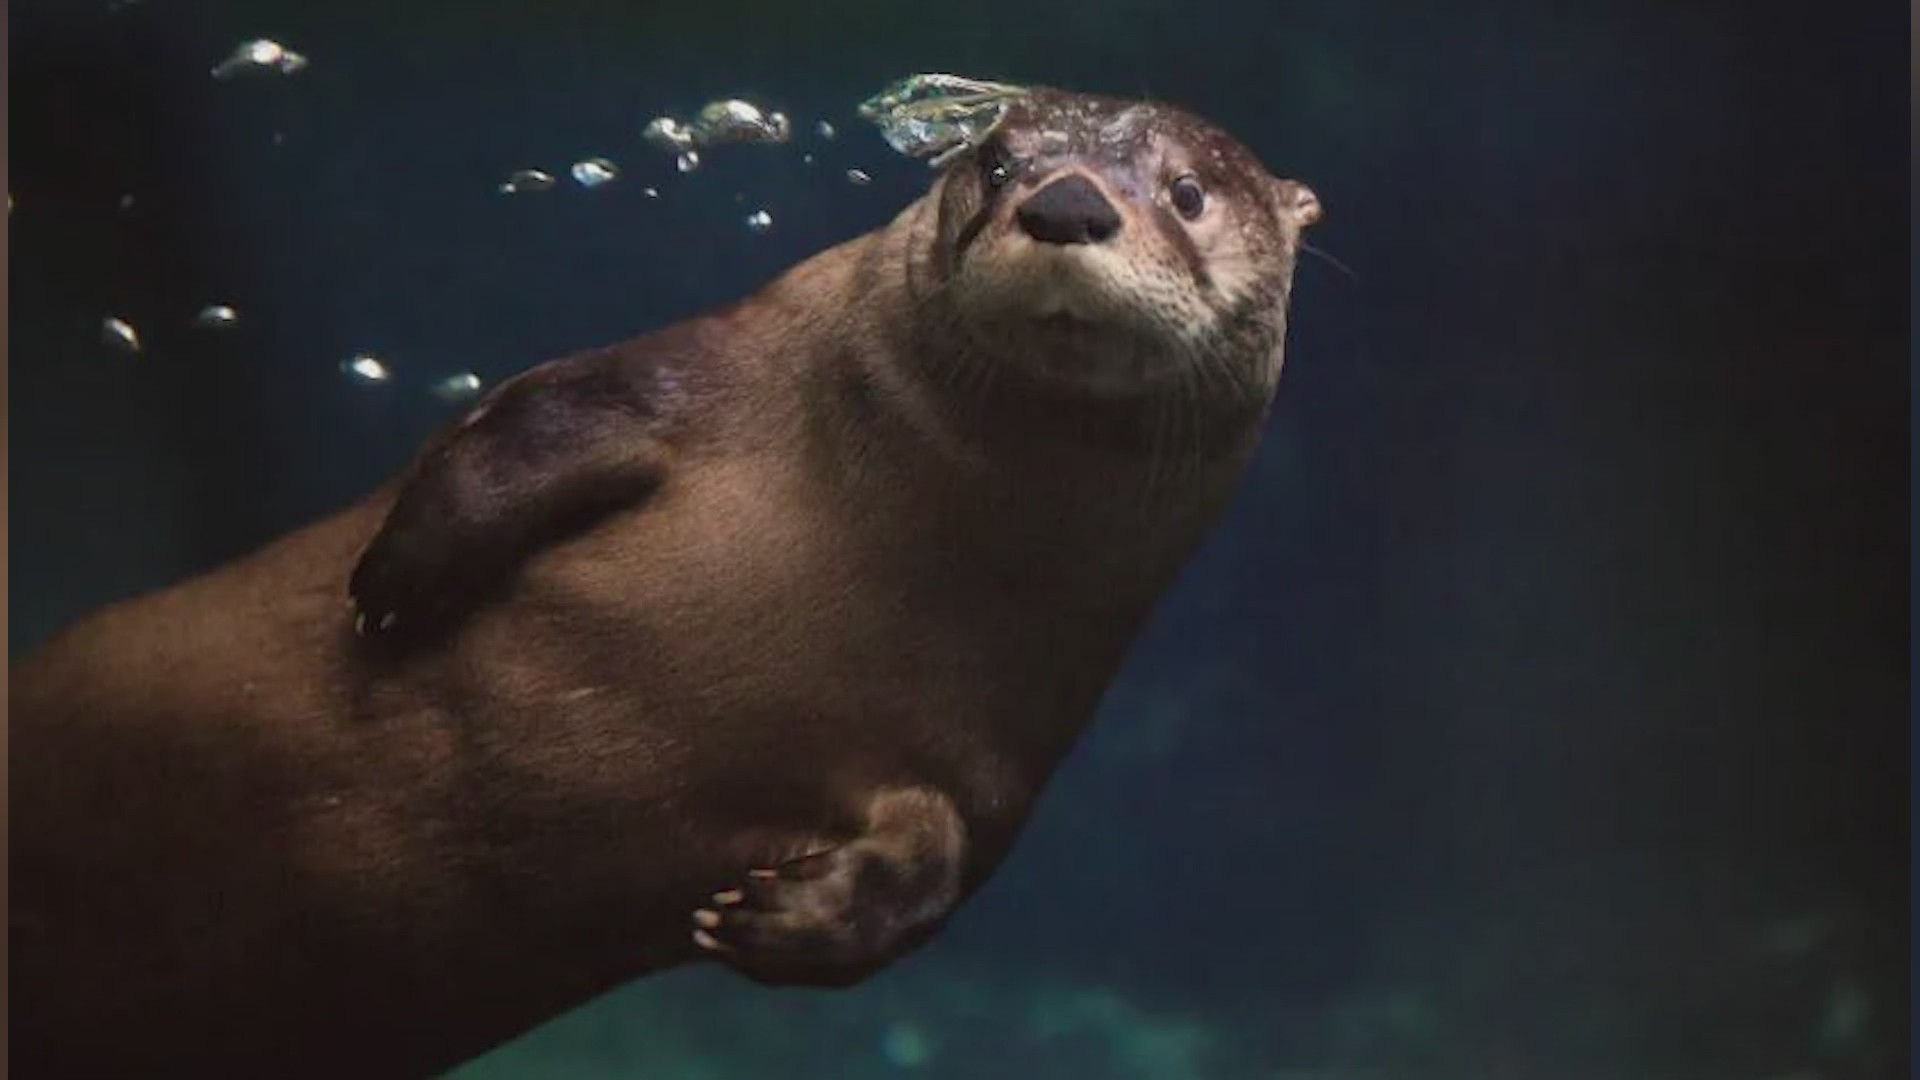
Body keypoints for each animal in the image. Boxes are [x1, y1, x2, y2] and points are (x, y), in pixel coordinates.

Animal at [10, 86, 1321, 1078]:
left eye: (1189, 192)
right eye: (994, 161)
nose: (1065, 202)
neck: (903, 547)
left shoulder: (999, 749)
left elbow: (936, 879)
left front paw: (773, 917)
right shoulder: (702, 377)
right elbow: (538, 413)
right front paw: (393, 580)